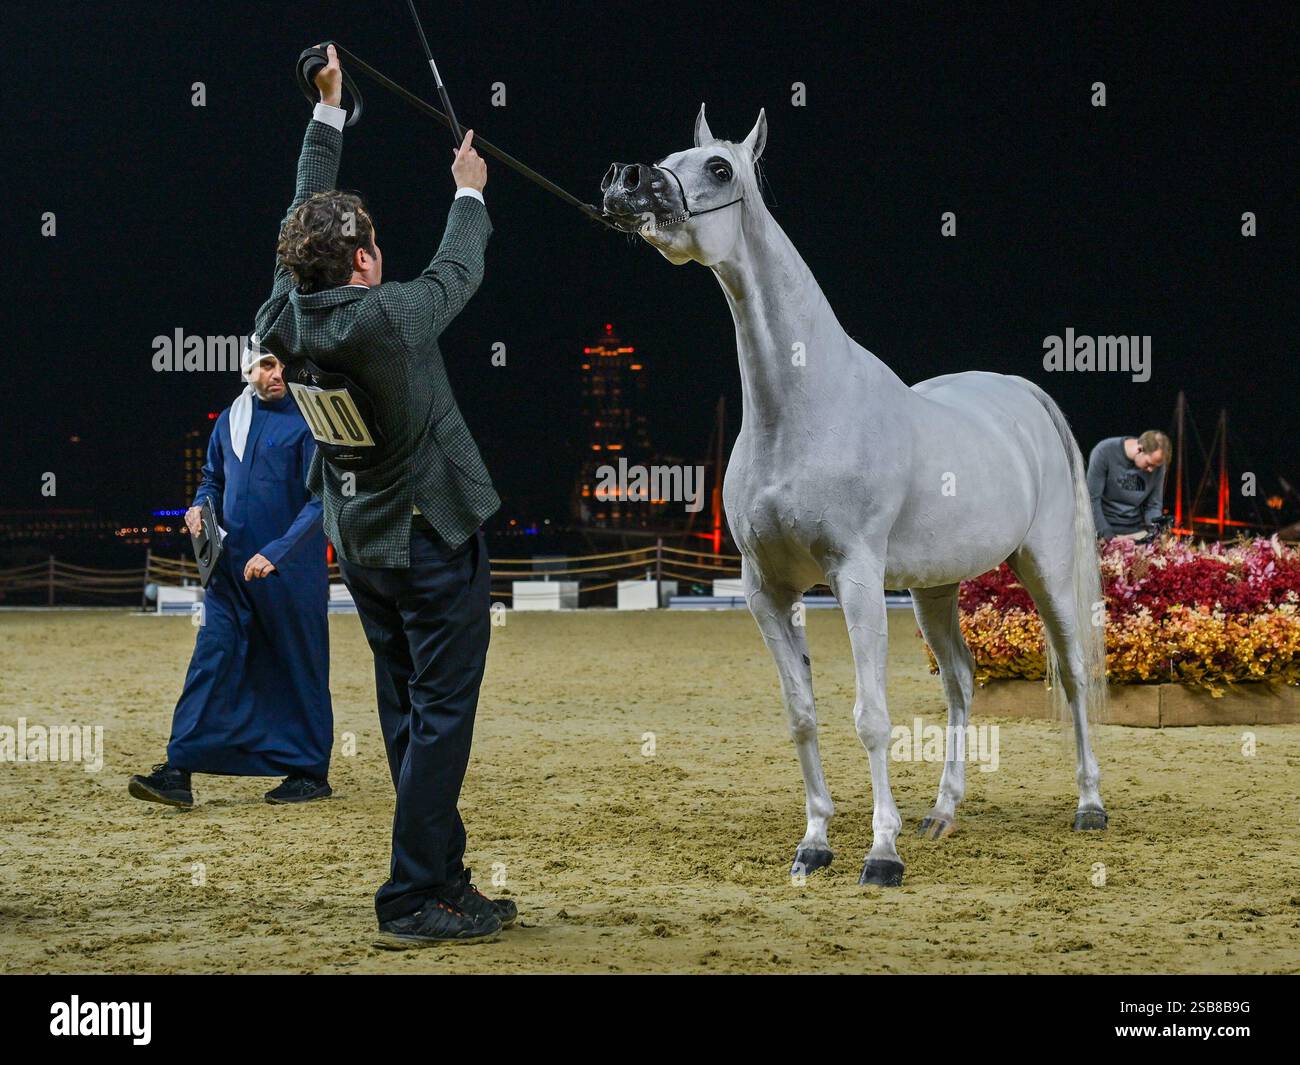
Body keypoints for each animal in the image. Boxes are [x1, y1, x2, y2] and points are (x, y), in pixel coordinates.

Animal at [601, 105, 1108, 887]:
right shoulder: (766, 590)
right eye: (668, 155)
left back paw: (1088, 805)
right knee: (961, 681)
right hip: (934, 588)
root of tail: (1022, 392)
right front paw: (815, 842)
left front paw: (882, 853)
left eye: (718, 167)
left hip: (1044, 566)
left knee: (1075, 674)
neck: (802, 408)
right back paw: (943, 812)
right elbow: (802, 713)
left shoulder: (858, 578)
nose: (625, 181)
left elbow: (871, 716)